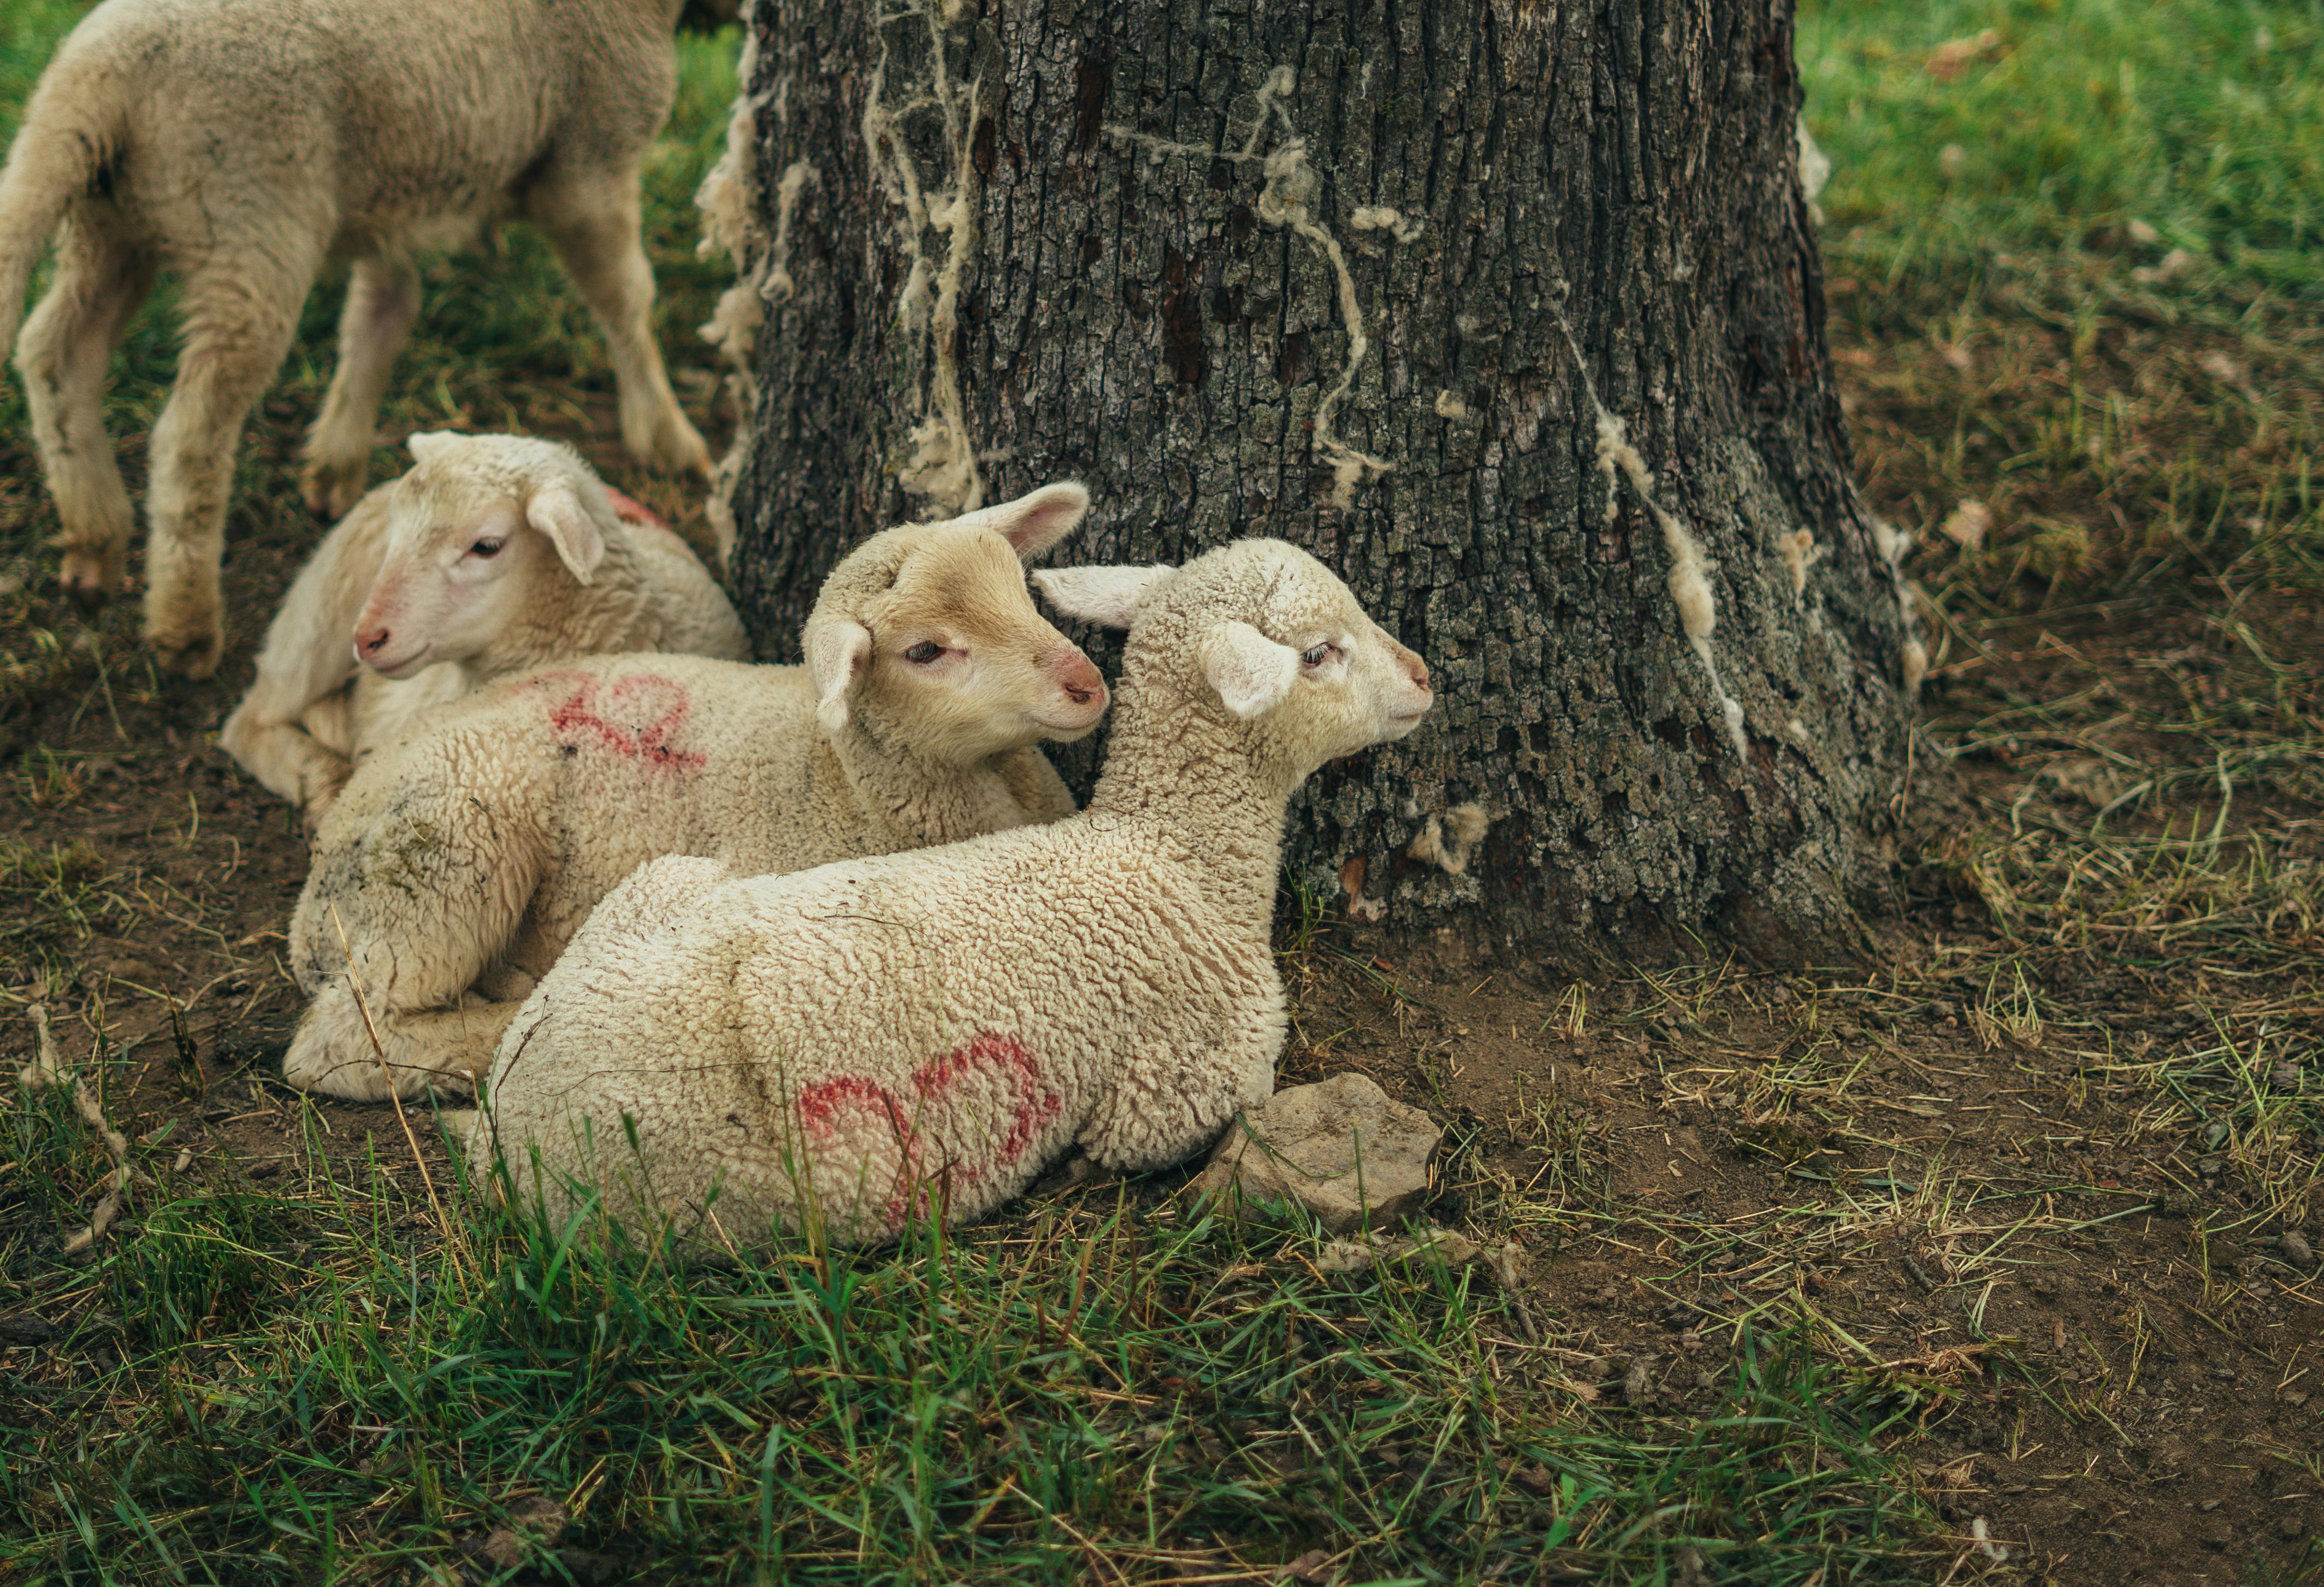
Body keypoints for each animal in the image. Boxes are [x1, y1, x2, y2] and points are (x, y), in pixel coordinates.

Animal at [0, 0, 711, 679]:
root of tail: (98, 72)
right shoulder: (591, 160)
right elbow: (625, 298)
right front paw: (667, 435)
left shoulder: (398, 196)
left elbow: (380, 314)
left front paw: (338, 459)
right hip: (247, 222)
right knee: (189, 436)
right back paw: (185, 624)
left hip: (111, 222)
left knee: (56, 355)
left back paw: (94, 542)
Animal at [221, 432, 746, 823]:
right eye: (397, 529)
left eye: (487, 546)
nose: (368, 638)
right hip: (324, 612)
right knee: (249, 719)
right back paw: (318, 776)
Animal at [282, 482, 1107, 1103]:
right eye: (926, 651)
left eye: (1019, 589)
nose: (1086, 684)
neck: (841, 786)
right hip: (442, 870)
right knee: (341, 1040)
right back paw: (502, 1023)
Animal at [469, 538, 1436, 1248]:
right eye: (1317, 655)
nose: (1424, 675)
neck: (1174, 856)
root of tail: (510, 1128)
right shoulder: (1184, 1085)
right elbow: (1157, 1131)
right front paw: (1074, 1167)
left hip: (667, 881)